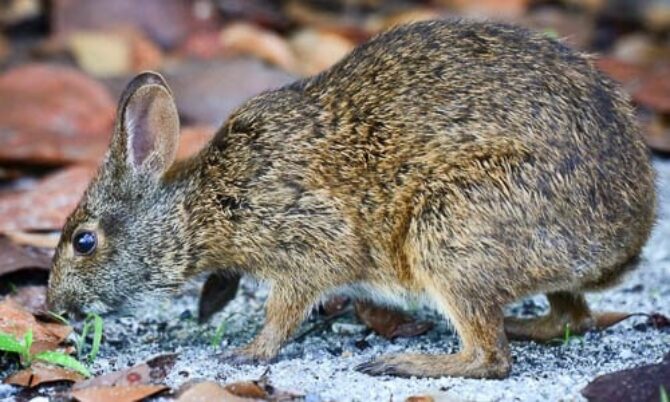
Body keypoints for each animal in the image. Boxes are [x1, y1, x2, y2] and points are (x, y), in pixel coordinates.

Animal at [47, 19, 656, 379]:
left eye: (84, 241)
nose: (53, 307)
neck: (202, 205)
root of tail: (626, 240)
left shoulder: (308, 242)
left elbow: (285, 309)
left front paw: (248, 352)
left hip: (449, 230)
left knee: (492, 358)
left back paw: (407, 361)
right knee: (569, 317)